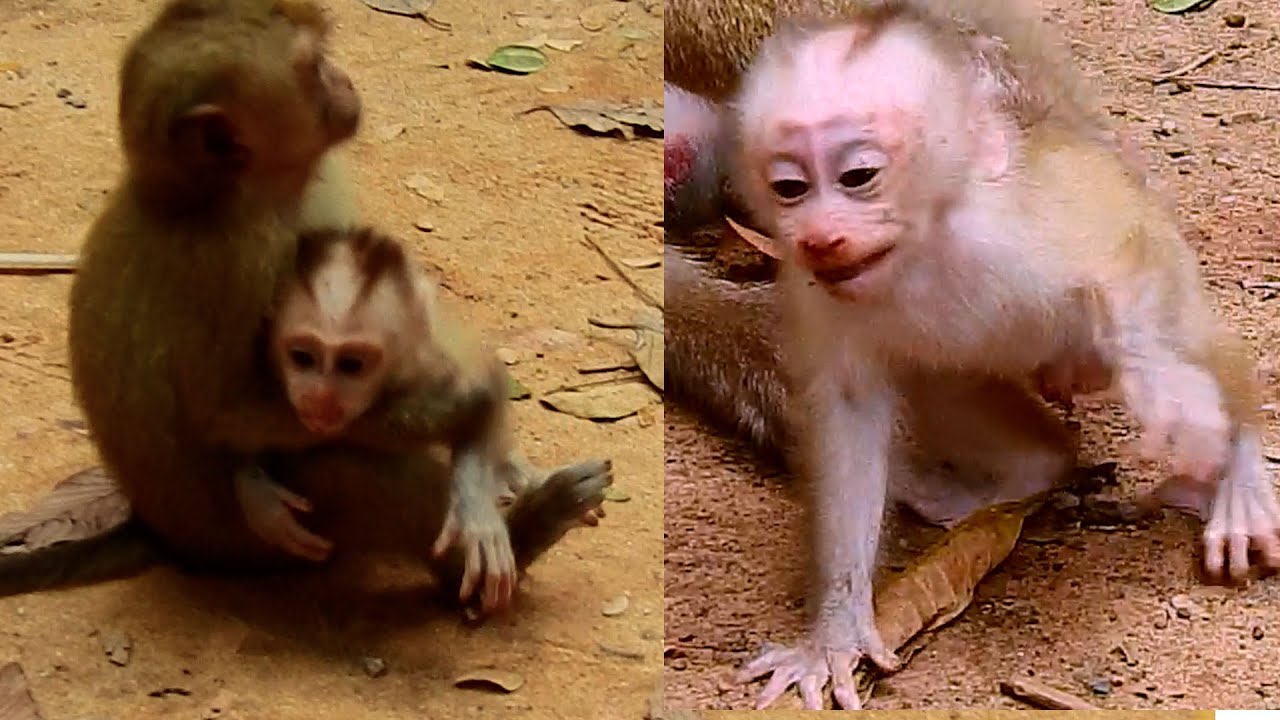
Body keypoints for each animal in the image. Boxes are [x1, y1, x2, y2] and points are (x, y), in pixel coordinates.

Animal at [662, 2, 1280, 710]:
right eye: (790, 186)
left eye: (858, 176)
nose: (821, 236)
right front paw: (836, 632)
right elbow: (849, 415)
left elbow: (1133, 258)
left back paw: (1237, 471)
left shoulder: (1030, 228)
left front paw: (1181, 406)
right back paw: (1020, 473)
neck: (921, 255)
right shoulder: (822, 294)